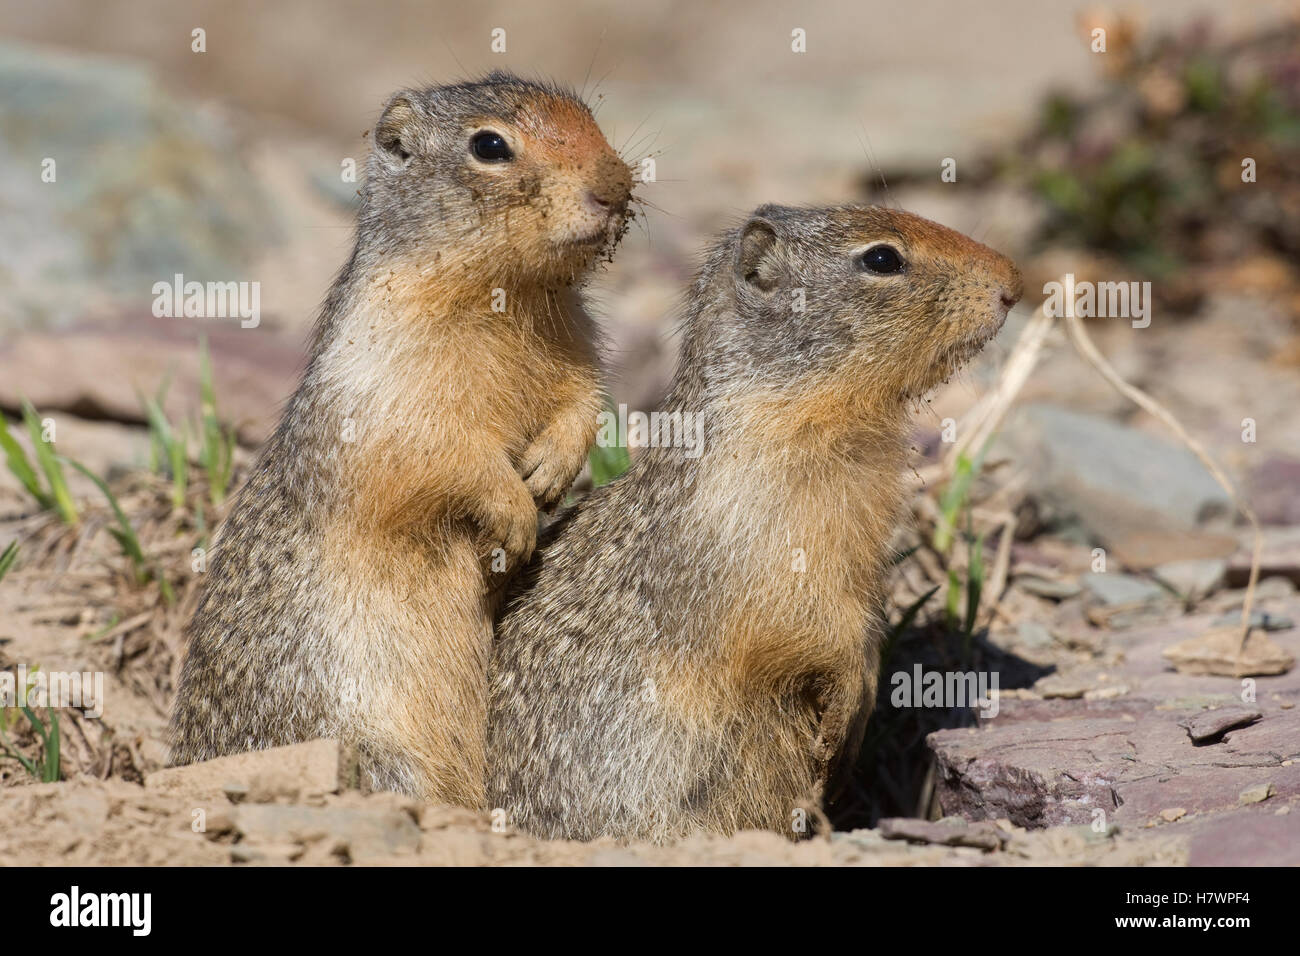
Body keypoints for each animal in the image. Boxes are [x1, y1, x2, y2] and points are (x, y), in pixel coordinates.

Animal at [169, 73, 634, 807]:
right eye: (490, 145)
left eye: (590, 117)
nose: (617, 184)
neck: (509, 295)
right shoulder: (389, 384)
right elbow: (438, 452)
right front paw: (514, 510)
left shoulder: (579, 347)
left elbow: (581, 403)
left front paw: (550, 471)